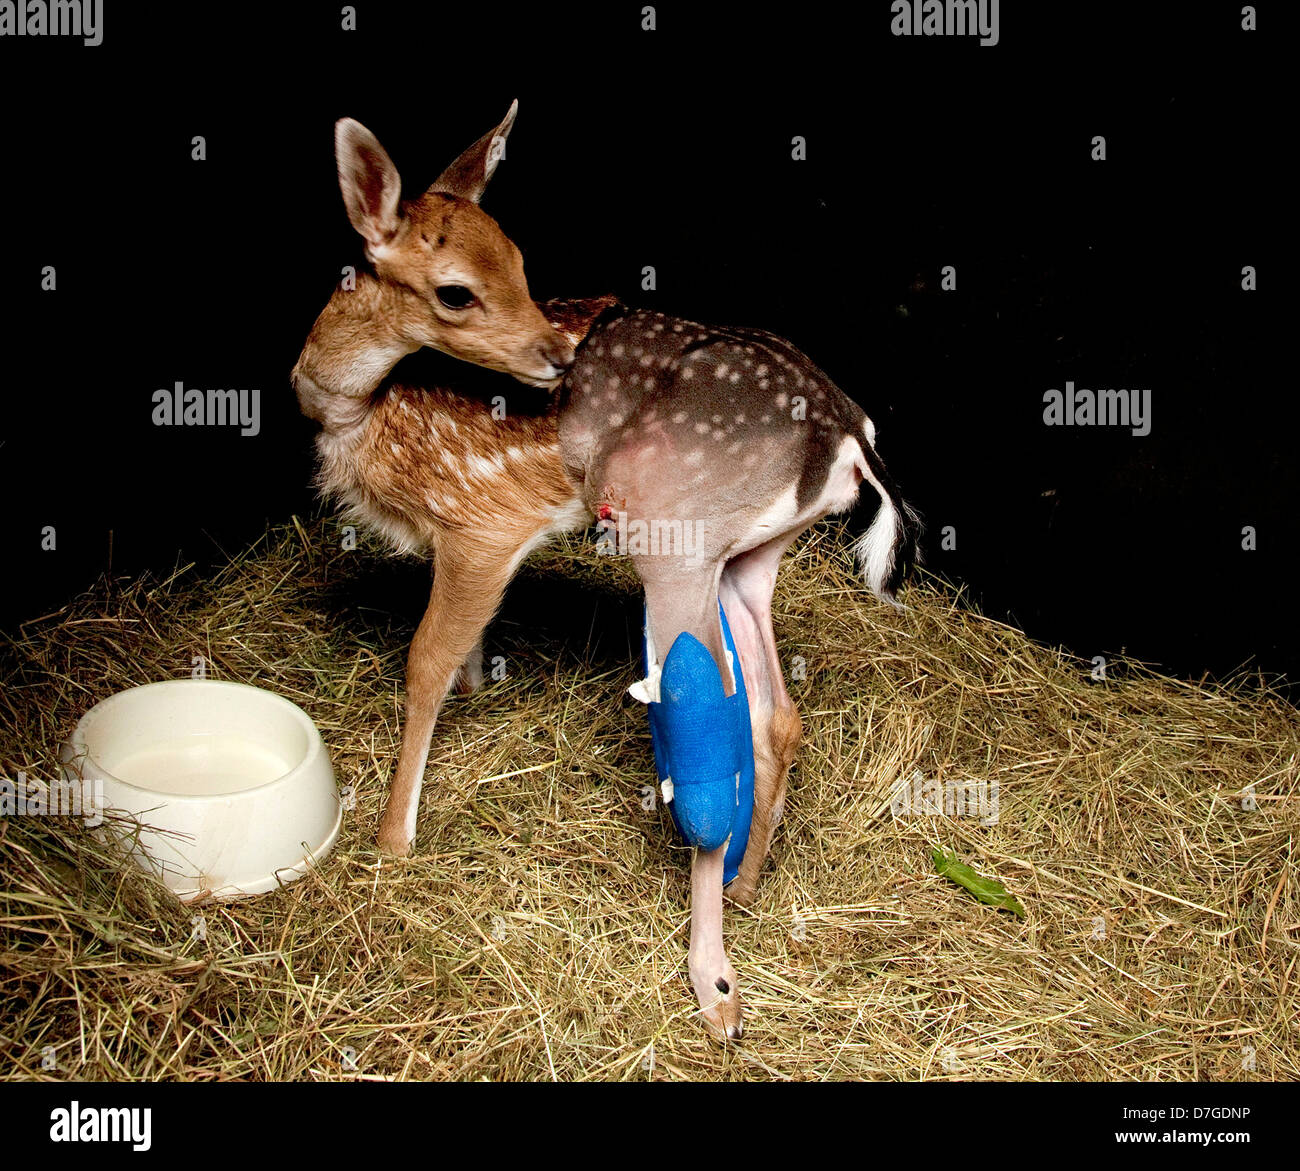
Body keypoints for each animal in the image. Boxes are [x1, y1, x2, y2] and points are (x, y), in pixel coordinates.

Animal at [291, 103, 918, 1042]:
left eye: (519, 263)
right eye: (460, 286)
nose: (555, 355)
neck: (356, 411)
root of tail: (847, 436)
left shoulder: (481, 524)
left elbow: (424, 665)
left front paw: (394, 843)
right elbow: (462, 653)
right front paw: (477, 691)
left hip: (674, 539)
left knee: (707, 757)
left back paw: (715, 987)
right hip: (745, 557)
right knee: (776, 715)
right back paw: (750, 885)